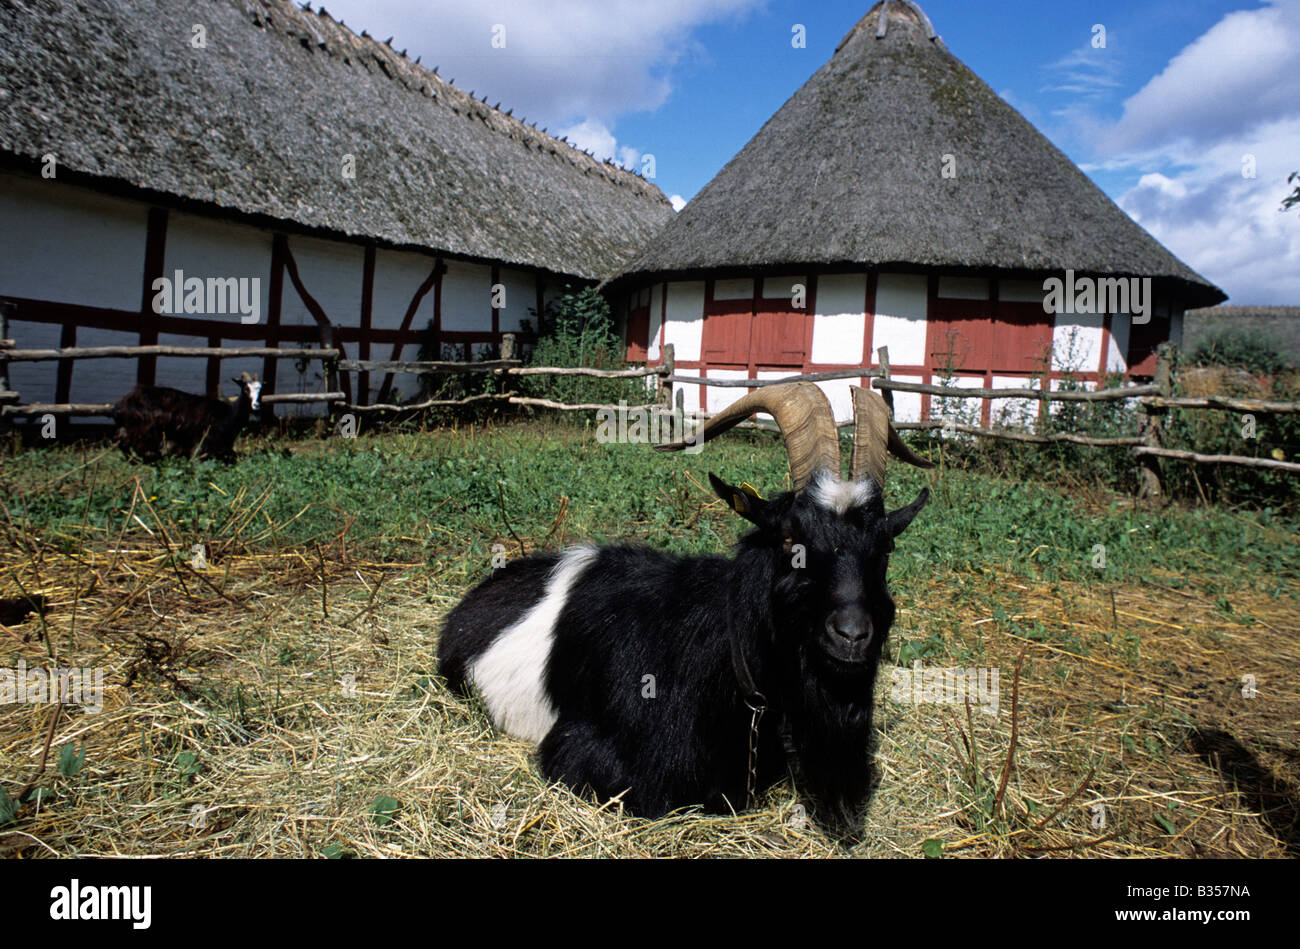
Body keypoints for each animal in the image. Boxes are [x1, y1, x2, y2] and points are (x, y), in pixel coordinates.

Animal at [113, 372, 262, 461]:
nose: (256, 405)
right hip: (141, 434)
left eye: (261, 391)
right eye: (245, 389)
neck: (228, 414)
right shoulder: (199, 448)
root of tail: (123, 403)